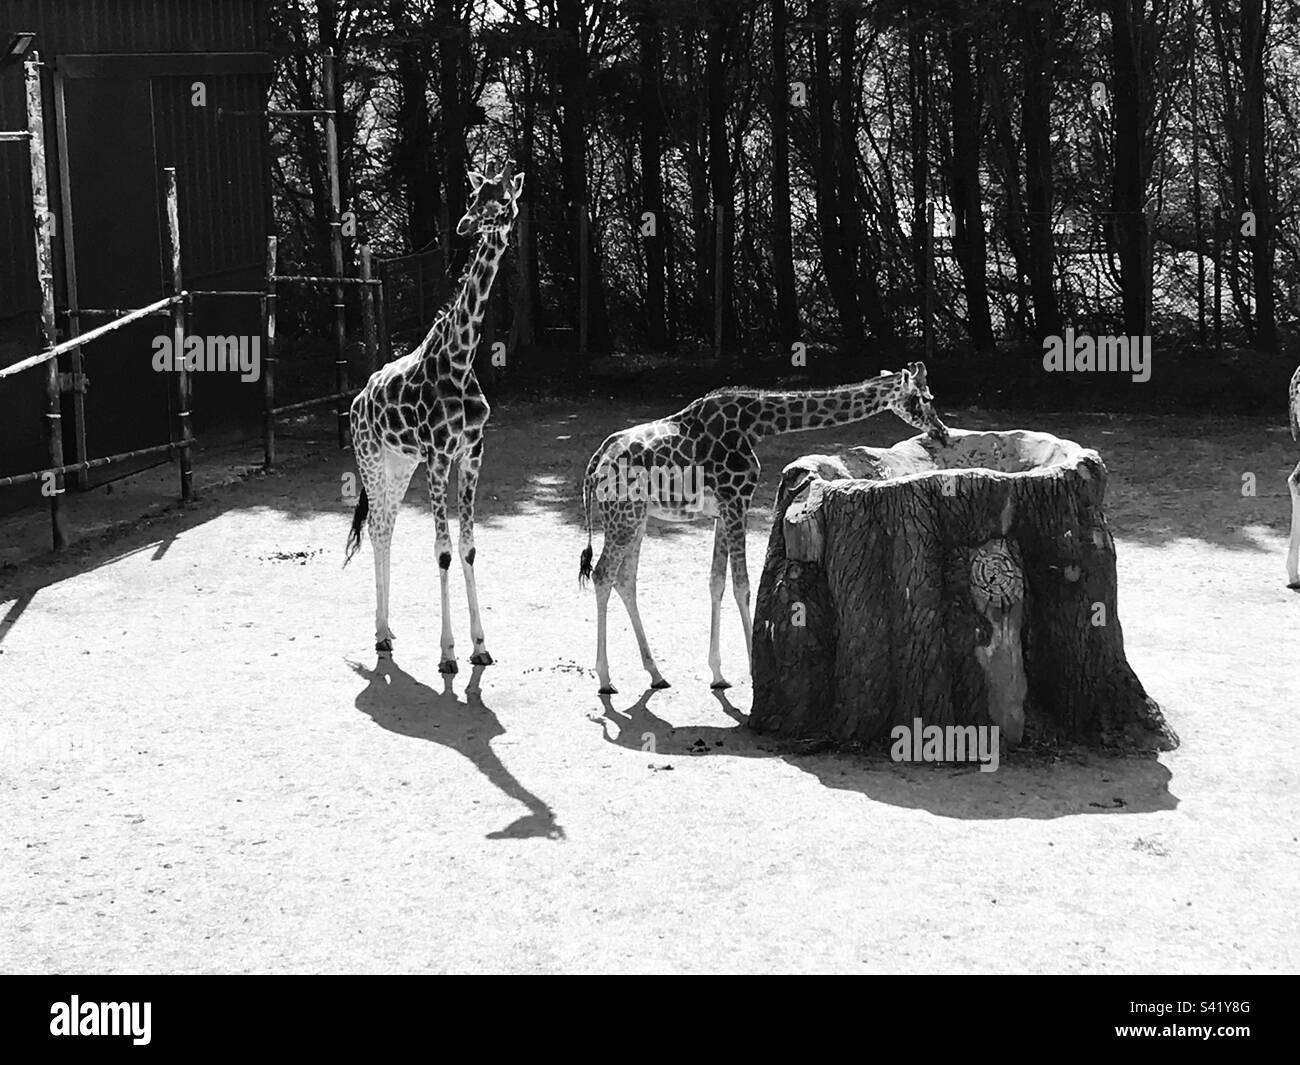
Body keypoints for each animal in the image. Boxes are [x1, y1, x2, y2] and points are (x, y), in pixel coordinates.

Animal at [345, 161, 524, 672]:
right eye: (475, 194)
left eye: (503, 198)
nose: (464, 225)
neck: (461, 359)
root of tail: (358, 399)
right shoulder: (440, 456)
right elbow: (442, 551)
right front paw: (447, 654)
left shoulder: (473, 452)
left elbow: (468, 546)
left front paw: (480, 646)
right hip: (370, 458)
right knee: (379, 529)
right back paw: (380, 634)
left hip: (401, 464)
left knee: (385, 525)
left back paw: (387, 631)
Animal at [577, 363, 950, 693]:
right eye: (925, 397)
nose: (942, 433)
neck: (756, 425)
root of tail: (595, 463)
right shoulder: (736, 501)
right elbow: (743, 584)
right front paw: (753, 671)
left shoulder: (723, 509)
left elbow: (717, 582)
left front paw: (718, 673)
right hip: (623, 514)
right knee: (603, 574)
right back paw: (606, 679)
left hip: (635, 517)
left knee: (625, 579)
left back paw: (655, 674)